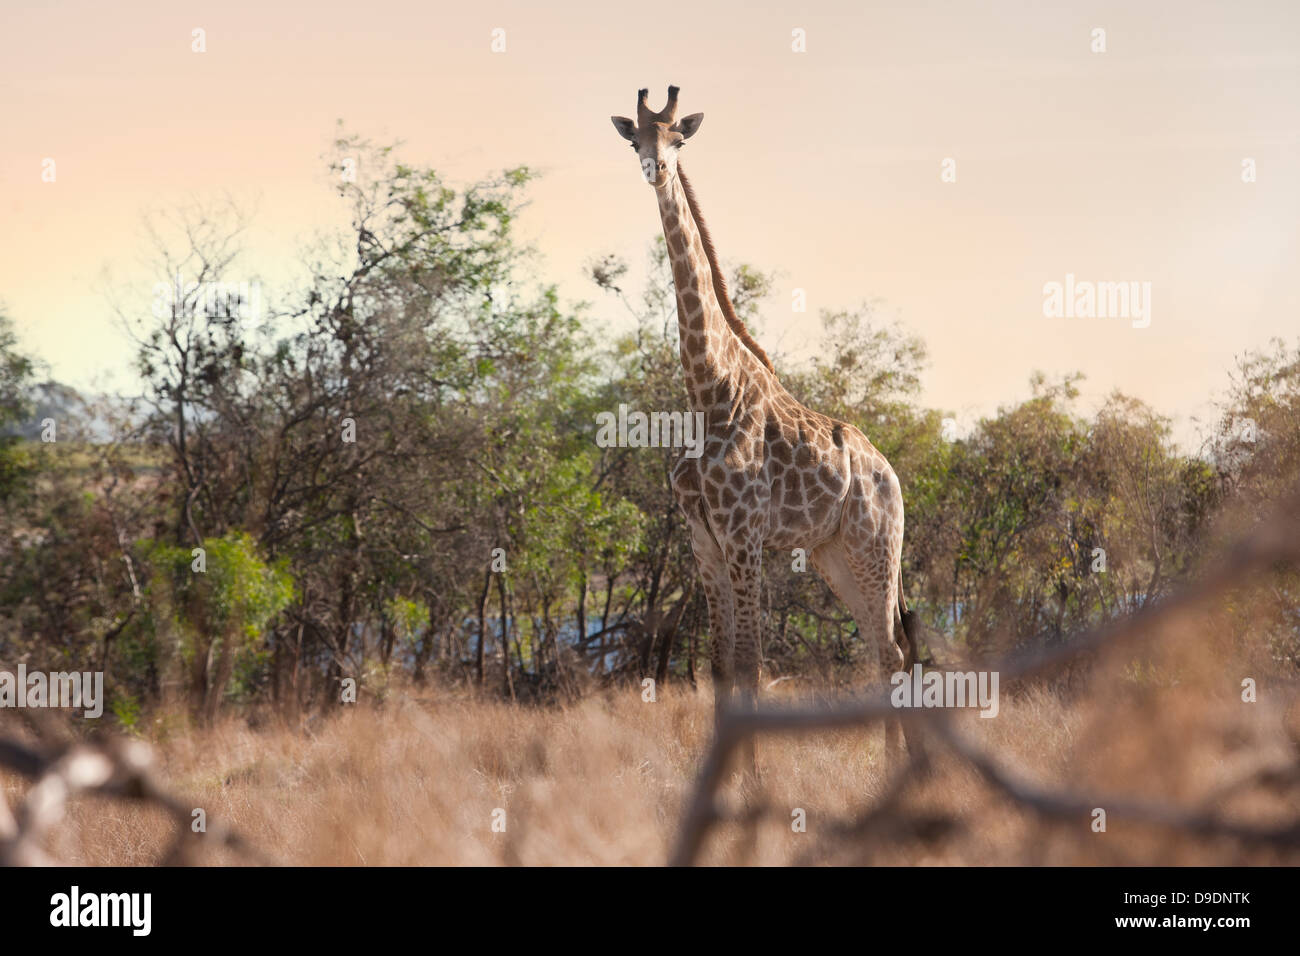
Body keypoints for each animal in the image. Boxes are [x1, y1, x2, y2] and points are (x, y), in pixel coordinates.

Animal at [611, 86, 920, 762]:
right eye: (636, 139)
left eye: (678, 138)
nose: (655, 169)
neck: (709, 392)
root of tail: (890, 474)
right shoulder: (703, 539)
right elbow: (721, 665)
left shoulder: (744, 534)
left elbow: (752, 663)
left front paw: (749, 779)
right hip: (834, 554)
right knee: (885, 653)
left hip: (876, 545)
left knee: (893, 652)